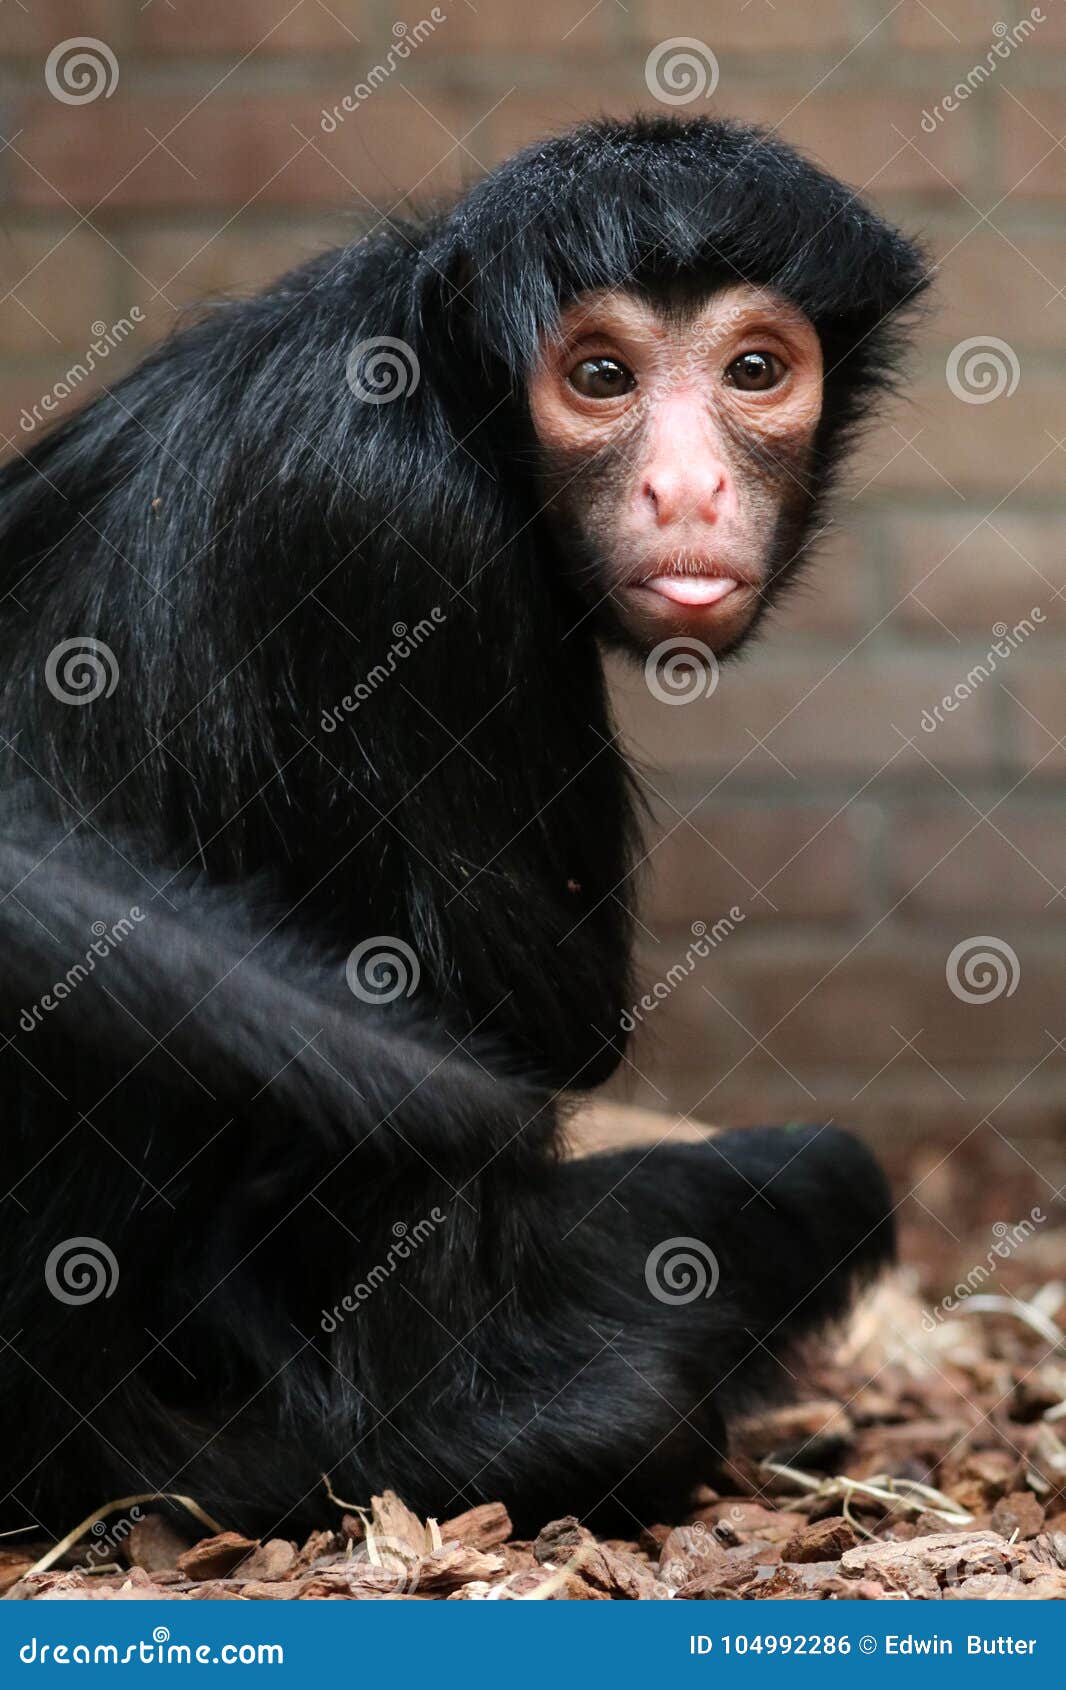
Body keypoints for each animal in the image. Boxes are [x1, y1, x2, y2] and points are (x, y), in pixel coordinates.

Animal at [0, 116, 928, 1540]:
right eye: (599, 377)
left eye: (755, 371)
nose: (684, 485)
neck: (427, 378)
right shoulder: (394, 528)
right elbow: (529, 1026)